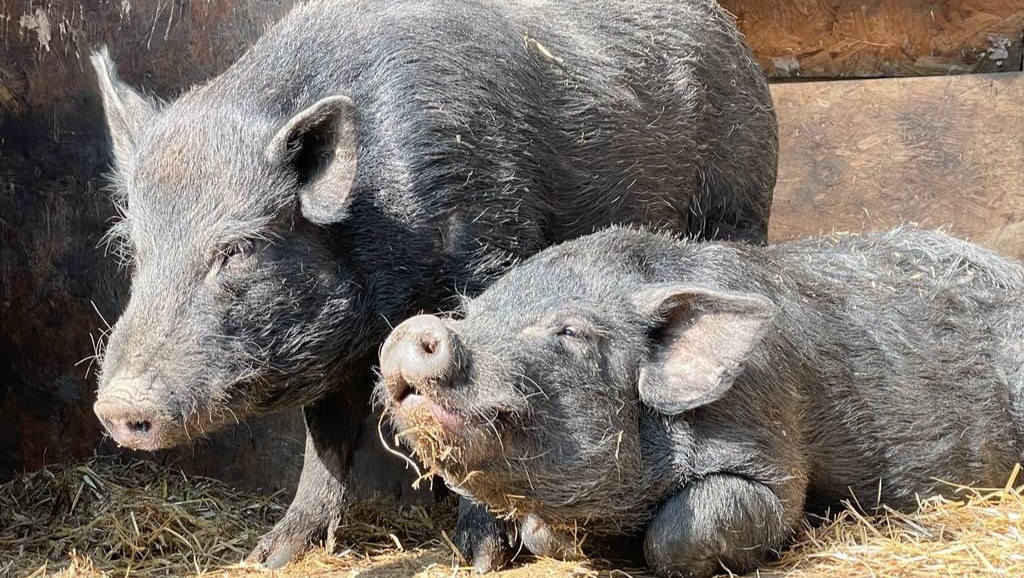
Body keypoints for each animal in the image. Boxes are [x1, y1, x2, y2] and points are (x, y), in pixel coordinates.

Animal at [89, 0, 777, 569]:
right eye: (132, 248)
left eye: (237, 250)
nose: (115, 407)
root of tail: (734, 37)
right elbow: (325, 440)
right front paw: (269, 556)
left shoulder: (491, 245)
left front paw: (479, 558)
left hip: (739, 200)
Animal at [378, 226, 1024, 578]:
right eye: (472, 313)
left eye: (571, 332)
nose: (417, 329)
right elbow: (541, 534)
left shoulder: (767, 433)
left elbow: (692, 527)